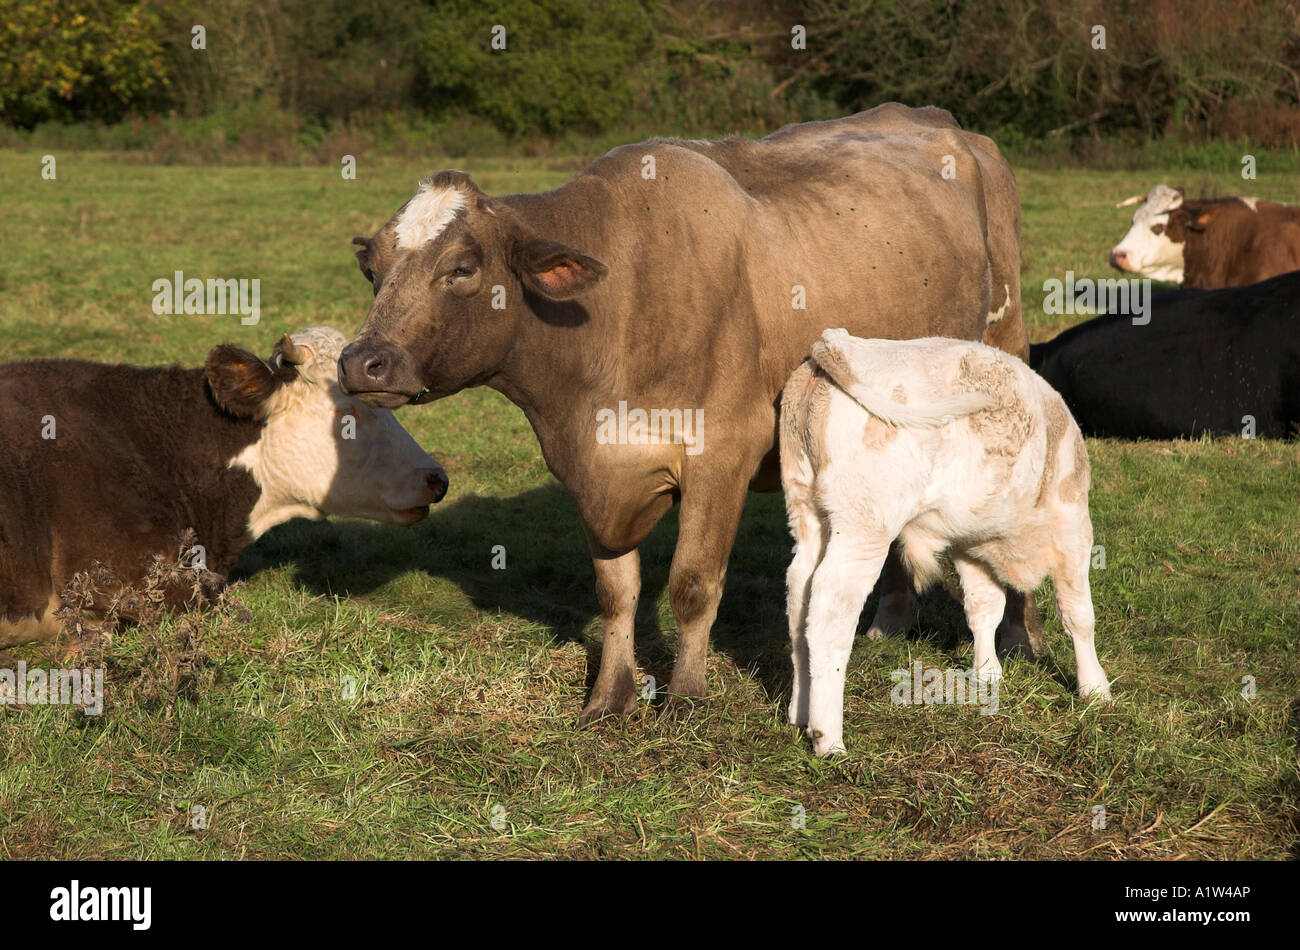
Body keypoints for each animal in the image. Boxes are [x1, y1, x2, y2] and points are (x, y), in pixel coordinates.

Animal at [337, 104, 1034, 723]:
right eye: (372, 270)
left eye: (462, 268)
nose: (362, 362)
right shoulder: (593, 468)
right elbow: (616, 593)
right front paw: (609, 697)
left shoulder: (722, 451)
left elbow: (693, 584)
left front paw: (688, 696)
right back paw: (889, 619)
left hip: (1009, 348)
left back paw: (1019, 638)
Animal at [782, 330, 1111, 756]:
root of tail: (840, 344)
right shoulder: (1074, 529)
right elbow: (1079, 616)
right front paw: (1095, 687)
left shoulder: (971, 545)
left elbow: (984, 608)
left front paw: (987, 673)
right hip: (863, 526)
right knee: (829, 607)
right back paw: (828, 738)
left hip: (807, 512)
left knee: (799, 596)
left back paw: (799, 713)